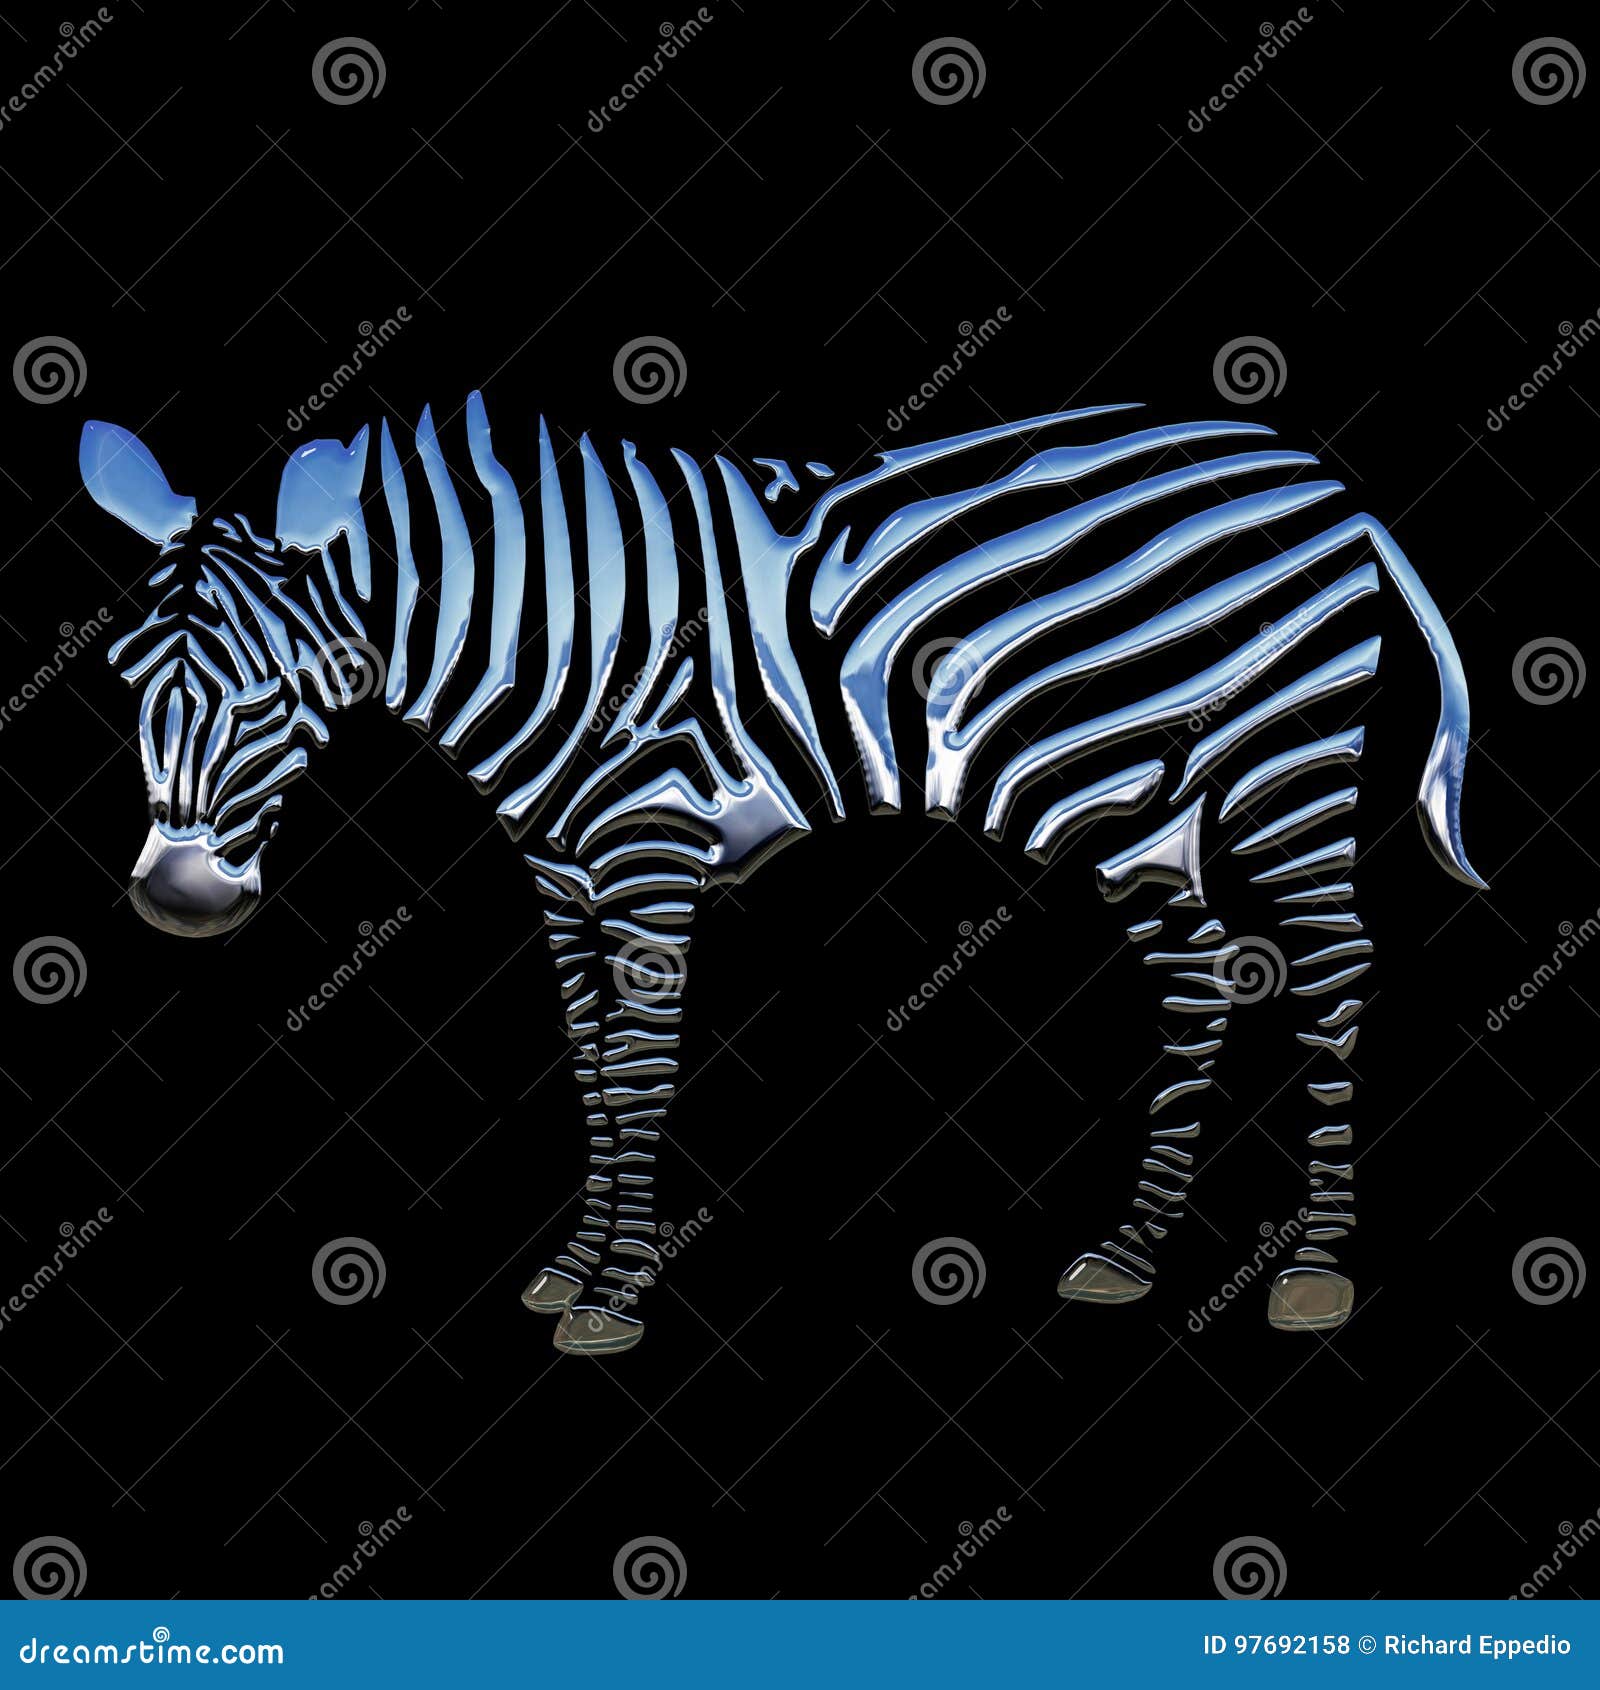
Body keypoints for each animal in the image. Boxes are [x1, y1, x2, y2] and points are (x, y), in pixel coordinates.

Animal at [78, 394, 1483, 1356]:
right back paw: (1131, 1251)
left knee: (1333, 967)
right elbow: (589, 1064)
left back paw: (1313, 1266)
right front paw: (572, 1265)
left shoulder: (649, 844)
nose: (176, 906)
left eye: (272, 693)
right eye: (122, 677)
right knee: (1199, 975)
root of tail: (1325, 480)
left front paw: (615, 1296)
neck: (543, 632)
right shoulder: (560, 868)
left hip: (1285, 760)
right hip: (1135, 800)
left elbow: (641, 1072)